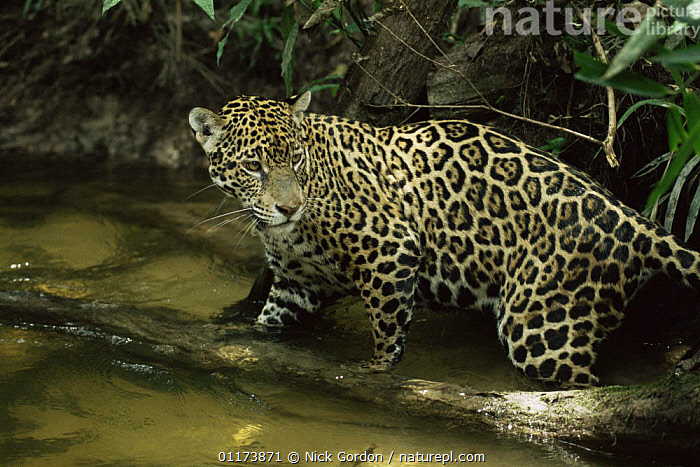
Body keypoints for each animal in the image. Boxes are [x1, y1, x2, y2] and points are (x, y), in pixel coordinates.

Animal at [189, 92, 700, 386]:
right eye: (253, 166)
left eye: (295, 159)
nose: (290, 208)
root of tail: (634, 221)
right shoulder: (298, 282)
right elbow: (269, 322)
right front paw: (244, 338)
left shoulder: (391, 249)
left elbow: (387, 328)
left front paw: (375, 371)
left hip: (539, 328)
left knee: (586, 384)